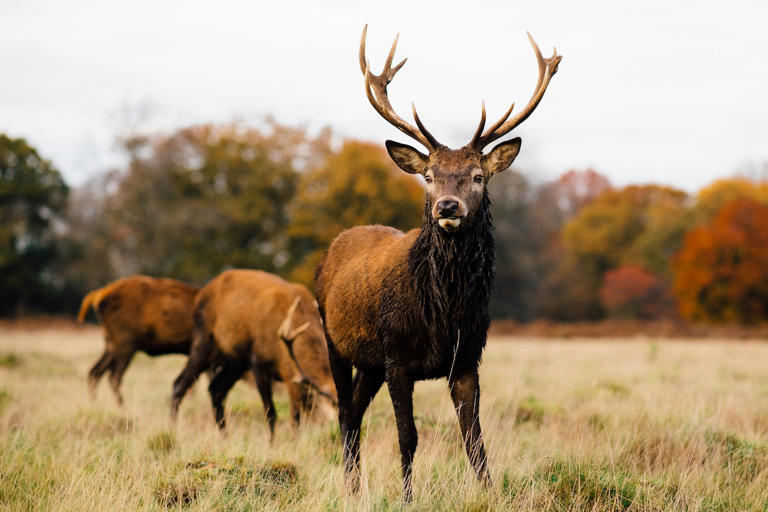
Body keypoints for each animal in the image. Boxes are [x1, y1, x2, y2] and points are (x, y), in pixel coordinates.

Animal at [77, 276, 199, 405]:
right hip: (126, 344)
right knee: (113, 377)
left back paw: (95, 402)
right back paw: (122, 406)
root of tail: (99, 295)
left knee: (95, 372)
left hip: (111, 344)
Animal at [169, 269, 337, 435]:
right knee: (180, 384)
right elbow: (271, 413)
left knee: (216, 389)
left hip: (236, 361)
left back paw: (224, 435)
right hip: (204, 341)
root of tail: (200, 294)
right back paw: (173, 429)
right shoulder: (258, 362)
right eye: (333, 404)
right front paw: (272, 442)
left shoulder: (292, 381)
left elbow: (295, 418)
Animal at [314, 26, 561, 501]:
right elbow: (407, 436)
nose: (446, 206)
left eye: (478, 176)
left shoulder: (467, 358)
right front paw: (407, 498)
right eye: (428, 176)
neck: (443, 314)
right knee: (345, 412)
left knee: (354, 409)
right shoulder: (397, 357)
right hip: (334, 341)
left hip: (369, 363)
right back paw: (351, 487)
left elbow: (475, 439)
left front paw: (489, 494)